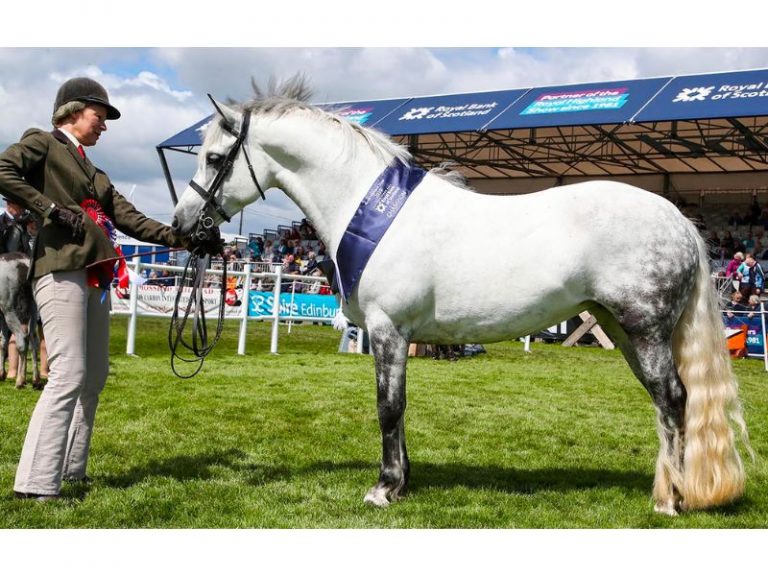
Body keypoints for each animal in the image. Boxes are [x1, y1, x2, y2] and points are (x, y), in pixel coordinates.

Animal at [0, 252, 41, 389]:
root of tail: (23, 264)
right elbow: (3, 341)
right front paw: (1, 373)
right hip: (33, 307)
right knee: (34, 340)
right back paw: (36, 380)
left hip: (10, 309)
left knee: (22, 340)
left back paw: (20, 381)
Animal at [171, 77, 750, 516]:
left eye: (216, 158)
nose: (182, 225)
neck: (368, 206)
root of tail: (678, 219)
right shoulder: (399, 335)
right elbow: (400, 408)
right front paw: (403, 481)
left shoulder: (386, 329)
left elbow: (388, 406)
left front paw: (383, 488)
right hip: (623, 329)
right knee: (665, 401)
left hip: (644, 329)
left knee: (672, 398)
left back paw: (670, 501)